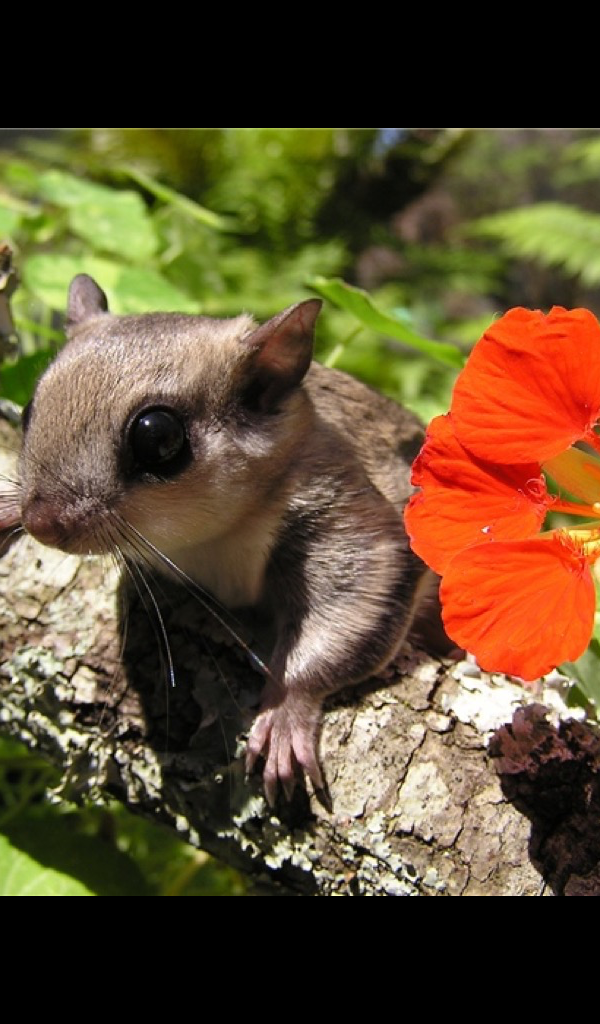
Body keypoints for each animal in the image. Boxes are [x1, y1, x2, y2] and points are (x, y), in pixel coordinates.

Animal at [6, 274, 437, 804]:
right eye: (30, 408)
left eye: (159, 437)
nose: (42, 522)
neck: (200, 540)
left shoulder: (339, 505)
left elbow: (355, 598)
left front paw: (285, 711)